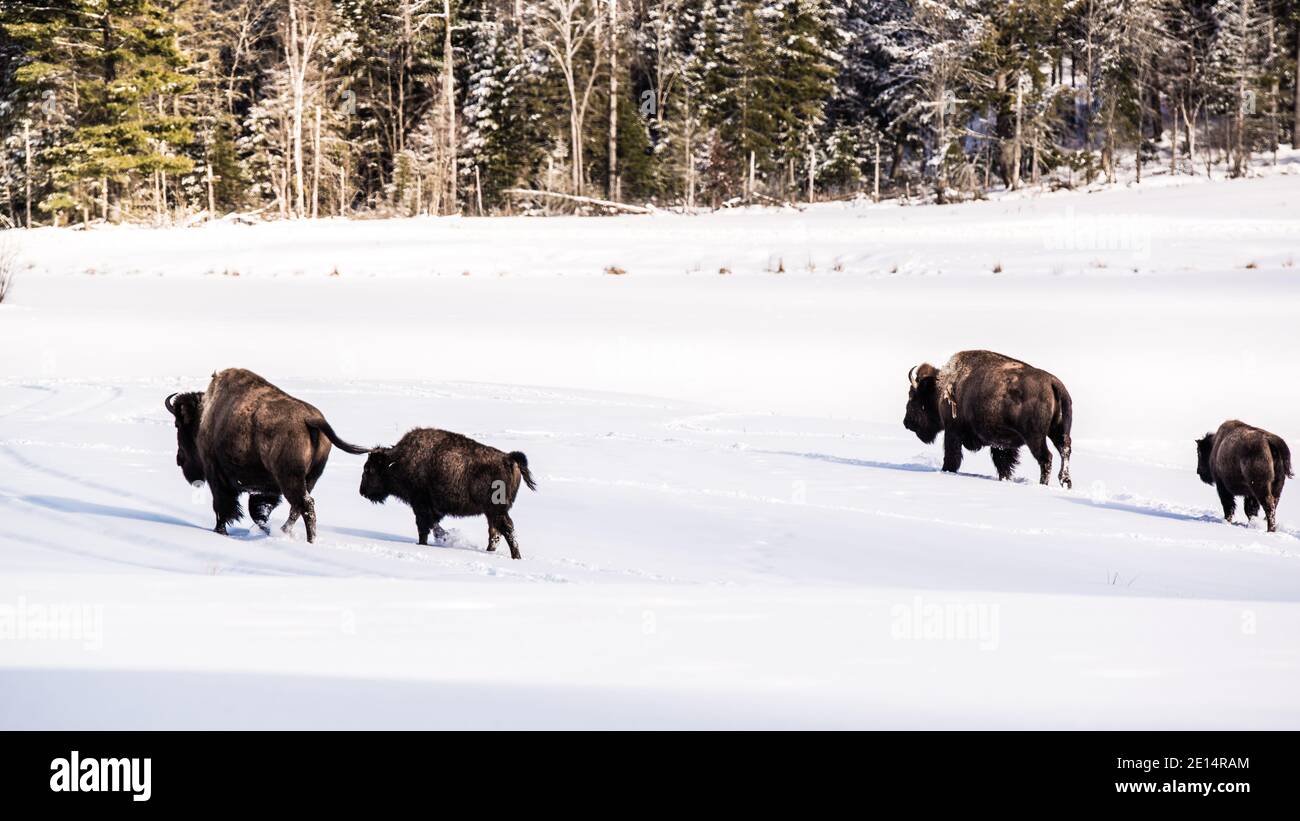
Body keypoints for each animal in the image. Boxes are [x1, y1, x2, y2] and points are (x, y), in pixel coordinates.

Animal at [166, 368, 371, 542]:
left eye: (177, 424)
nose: (179, 459)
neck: (204, 416)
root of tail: (311, 419)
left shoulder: (216, 475)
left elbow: (222, 507)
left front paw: (220, 531)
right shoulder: (263, 489)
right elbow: (257, 511)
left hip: (290, 478)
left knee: (304, 505)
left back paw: (308, 540)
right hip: (309, 478)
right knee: (297, 508)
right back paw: (284, 532)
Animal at [359, 428, 537, 559]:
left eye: (369, 469)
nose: (362, 491)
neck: (398, 460)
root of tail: (509, 458)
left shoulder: (421, 505)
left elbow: (423, 527)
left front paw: (423, 543)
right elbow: (433, 525)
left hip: (496, 509)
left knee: (507, 529)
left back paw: (515, 557)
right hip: (491, 512)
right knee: (496, 532)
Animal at [904, 350, 1073, 487]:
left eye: (913, 396)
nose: (906, 422)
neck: (941, 387)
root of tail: (1053, 382)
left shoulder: (952, 431)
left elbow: (952, 455)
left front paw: (947, 470)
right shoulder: (1001, 444)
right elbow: (1003, 464)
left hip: (1035, 437)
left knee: (1046, 457)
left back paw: (1043, 484)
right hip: (1058, 432)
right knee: (1064, 450)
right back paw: (1065, 482)